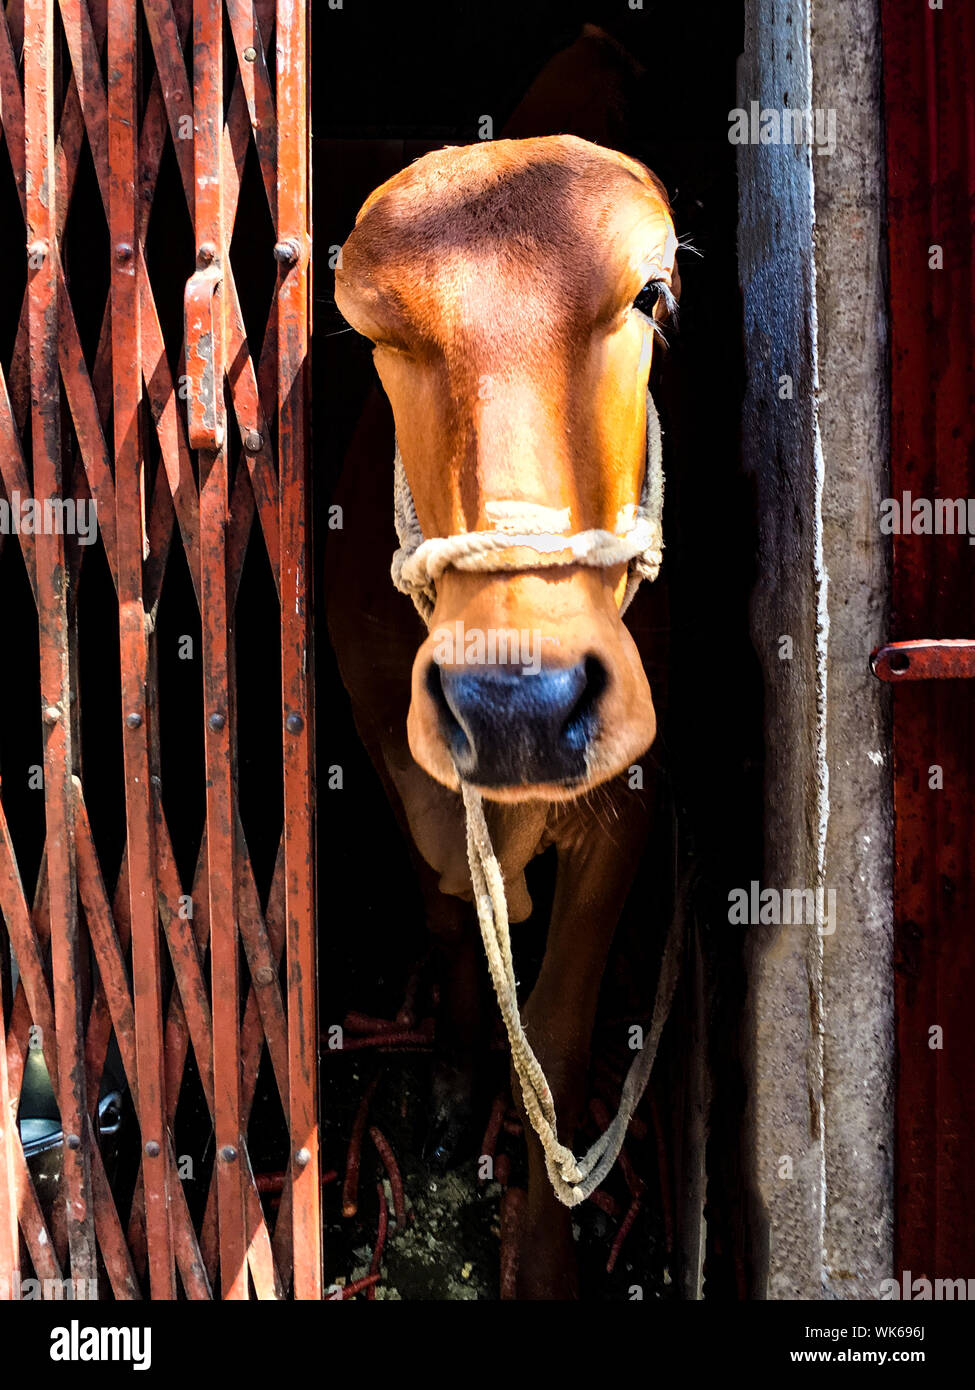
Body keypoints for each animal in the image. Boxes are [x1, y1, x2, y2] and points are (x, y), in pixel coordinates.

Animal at [327, 133, 679, 1298]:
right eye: (378, 335)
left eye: (652, 294)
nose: (519, 702)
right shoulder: (394, 762)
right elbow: (448, 915)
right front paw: (452, 1086)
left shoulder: (627, 806)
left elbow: (560, 1048)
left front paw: (546, 1258)